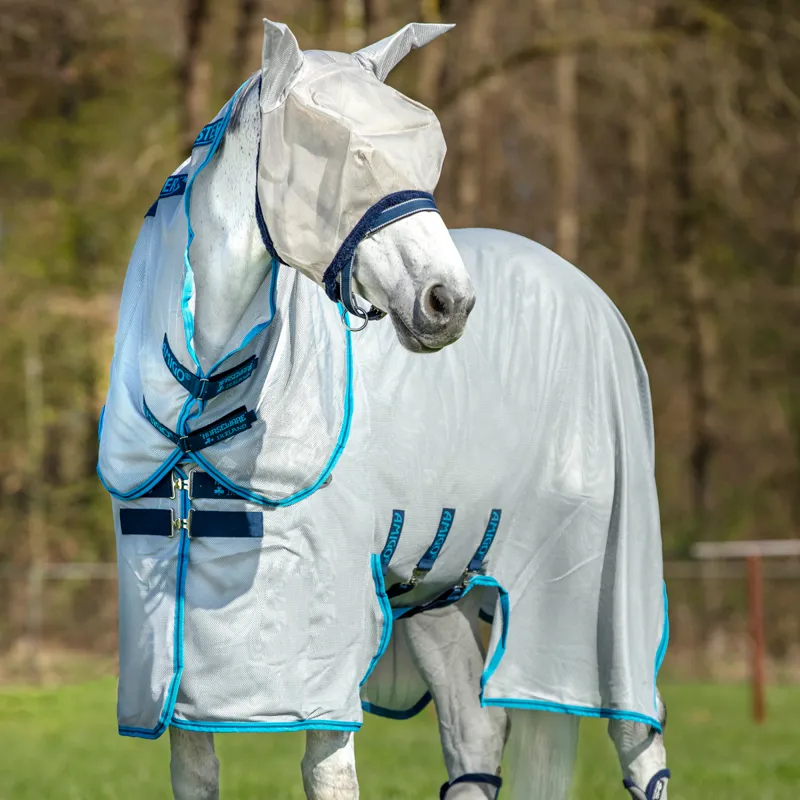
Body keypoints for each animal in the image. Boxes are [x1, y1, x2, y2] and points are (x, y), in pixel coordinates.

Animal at [98, 19, 670, 800]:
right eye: (352, 154)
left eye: (426, 155)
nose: (448, 302)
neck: (205, 394)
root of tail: (586, 292)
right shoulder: (178, 671)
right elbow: (196, 769)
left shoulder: (320, 657)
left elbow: (327, 772)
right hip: (433, 587)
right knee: (473, 730)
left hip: (594, 597)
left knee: (640, 742)